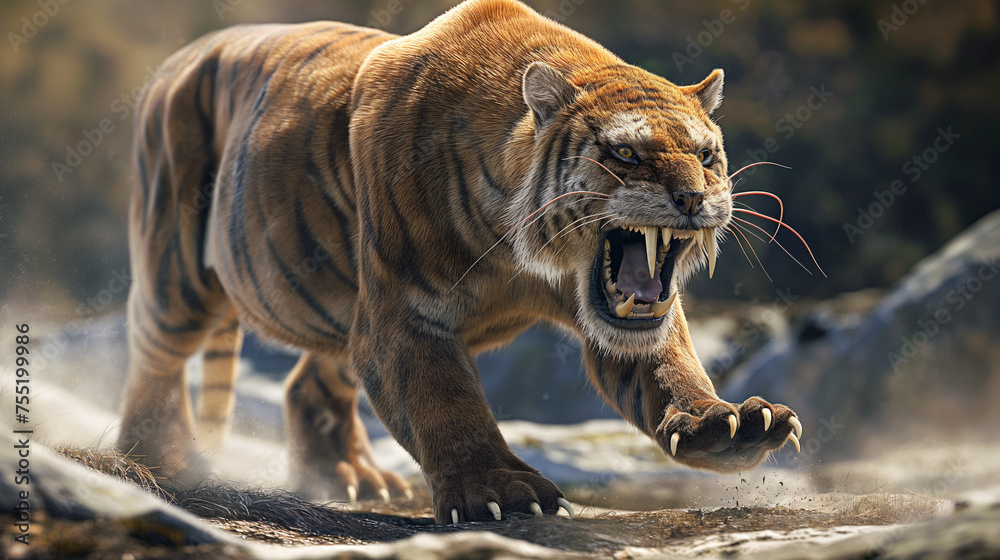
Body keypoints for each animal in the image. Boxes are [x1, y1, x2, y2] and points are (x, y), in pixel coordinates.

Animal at [116, 0, 802, 524]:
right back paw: (159, 463)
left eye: (706, 154)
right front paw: (500, 490)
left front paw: (730, 425)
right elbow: (447, 403)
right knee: (156, 360)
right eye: (627, 154)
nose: (692, 197)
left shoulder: (629, 321)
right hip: (176, 273)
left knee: (310, 380)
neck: (525, 253)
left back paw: (350, 477)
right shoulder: (403, 314)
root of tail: (177, 60)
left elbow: (669, 369)